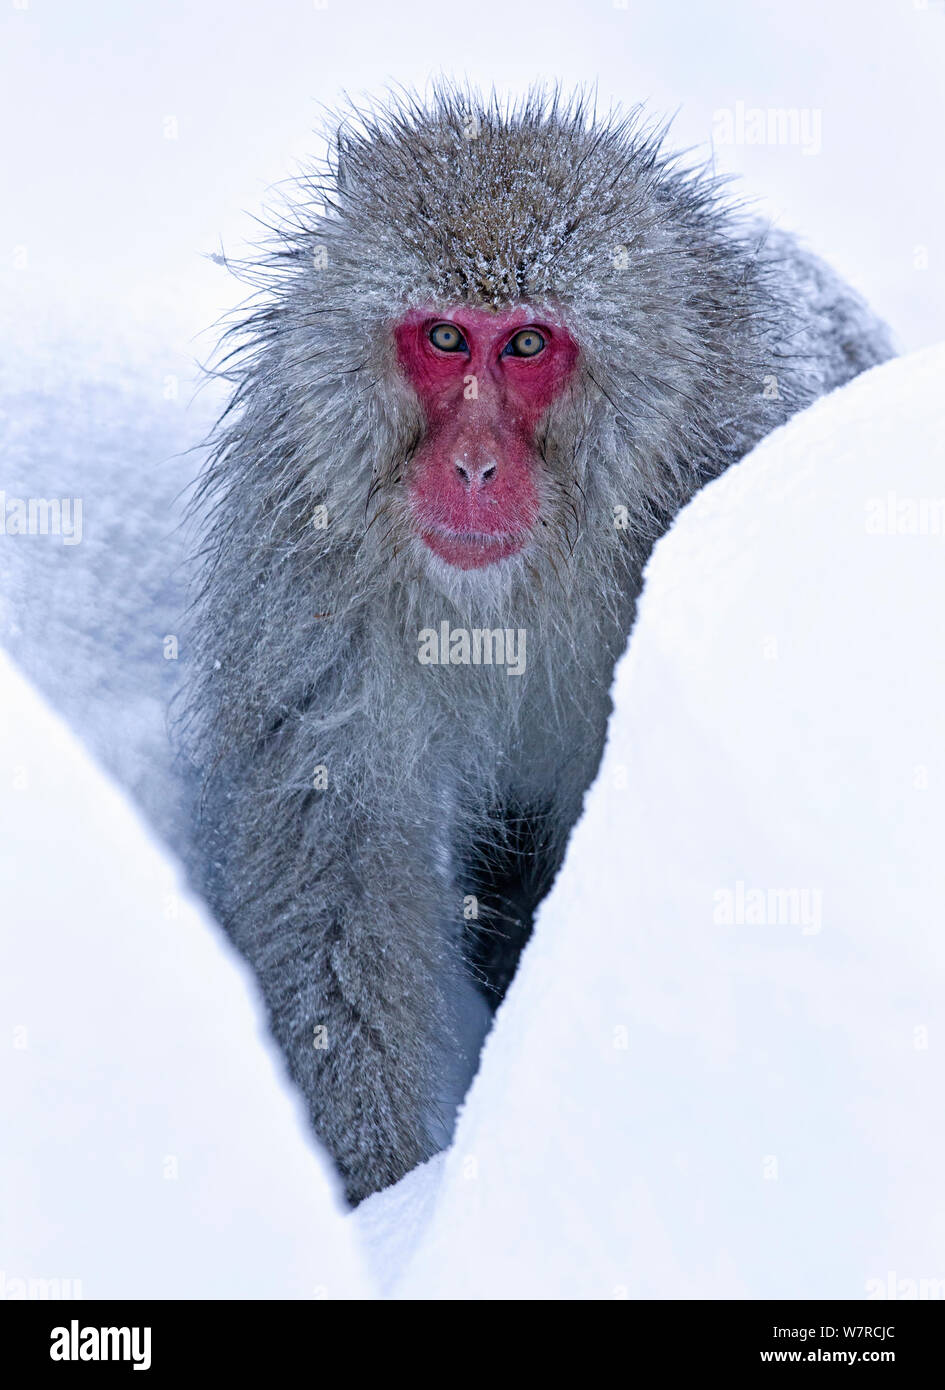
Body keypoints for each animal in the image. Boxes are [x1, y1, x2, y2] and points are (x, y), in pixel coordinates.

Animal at [186, 88, 893, 1204]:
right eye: (444, 337)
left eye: (524, 345)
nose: (472, 466)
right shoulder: (313, 562)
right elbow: (340, 856)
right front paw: (380, 1181)